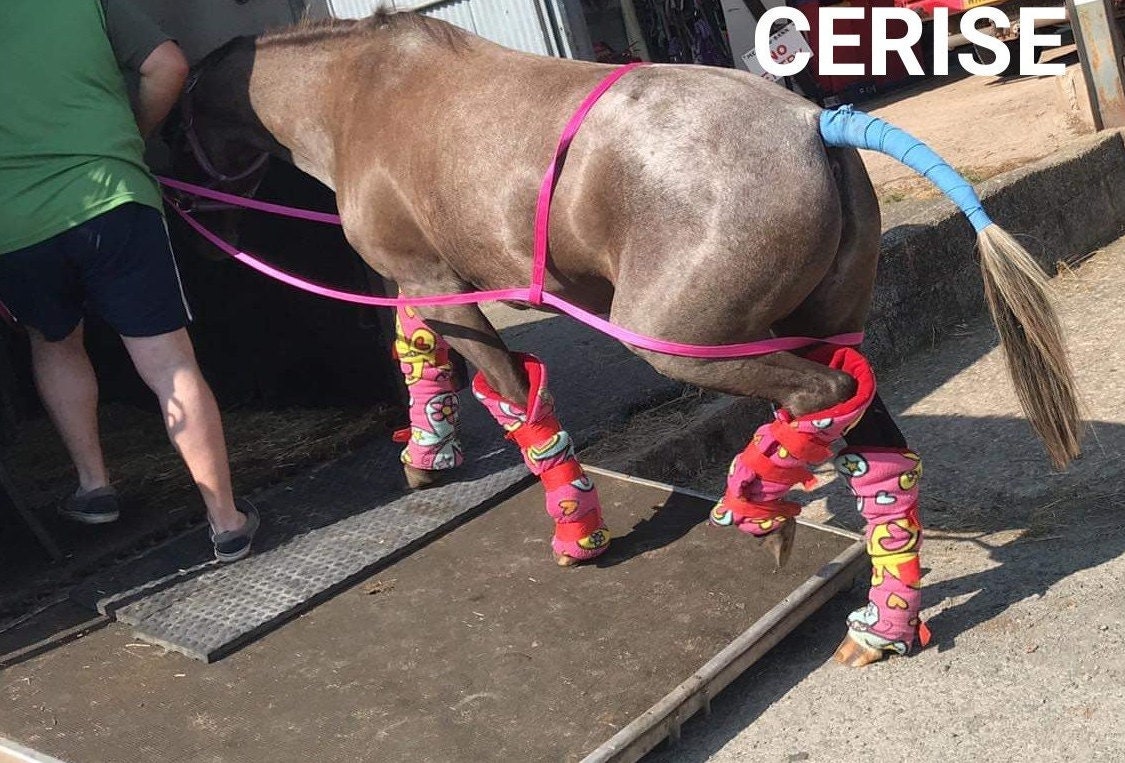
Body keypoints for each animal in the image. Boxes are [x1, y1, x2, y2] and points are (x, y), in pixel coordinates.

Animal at [177, 11, 1083, 667]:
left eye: (171, 133)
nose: (192, 228)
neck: (356, 94)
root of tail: (817, 127)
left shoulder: (431, 277)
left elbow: (515, 397)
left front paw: (578, 533)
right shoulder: (424, 283)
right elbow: (424, 357)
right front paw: (428, 454)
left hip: (672, 339)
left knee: (818, 392)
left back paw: (759, 501)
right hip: (820, 325)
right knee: (872, 440)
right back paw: (883, 625)